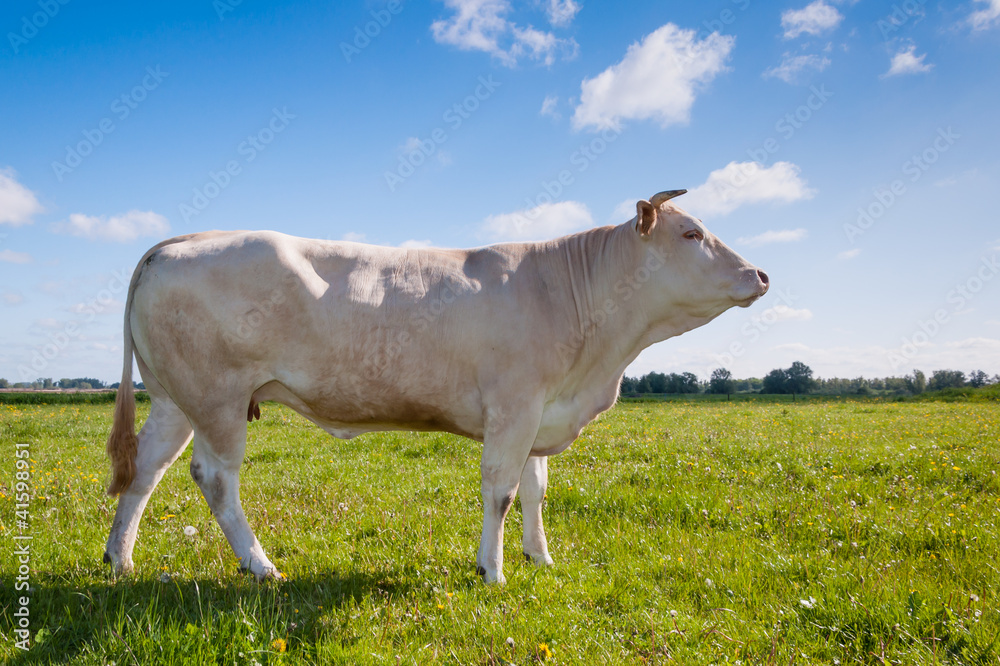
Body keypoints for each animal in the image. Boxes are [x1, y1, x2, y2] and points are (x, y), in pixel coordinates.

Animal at [103, 189, 769, 584]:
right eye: (691, 234)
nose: (760, 273)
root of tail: (184, 240)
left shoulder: (540, 411)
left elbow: (536, 489)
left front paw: (540, 556)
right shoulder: (514, 406)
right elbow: (501, 490)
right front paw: (493, 571)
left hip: (175, 398)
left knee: (146, 470)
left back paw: (119, 557)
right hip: (217, 398)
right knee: (215, 479)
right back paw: (261, 565)